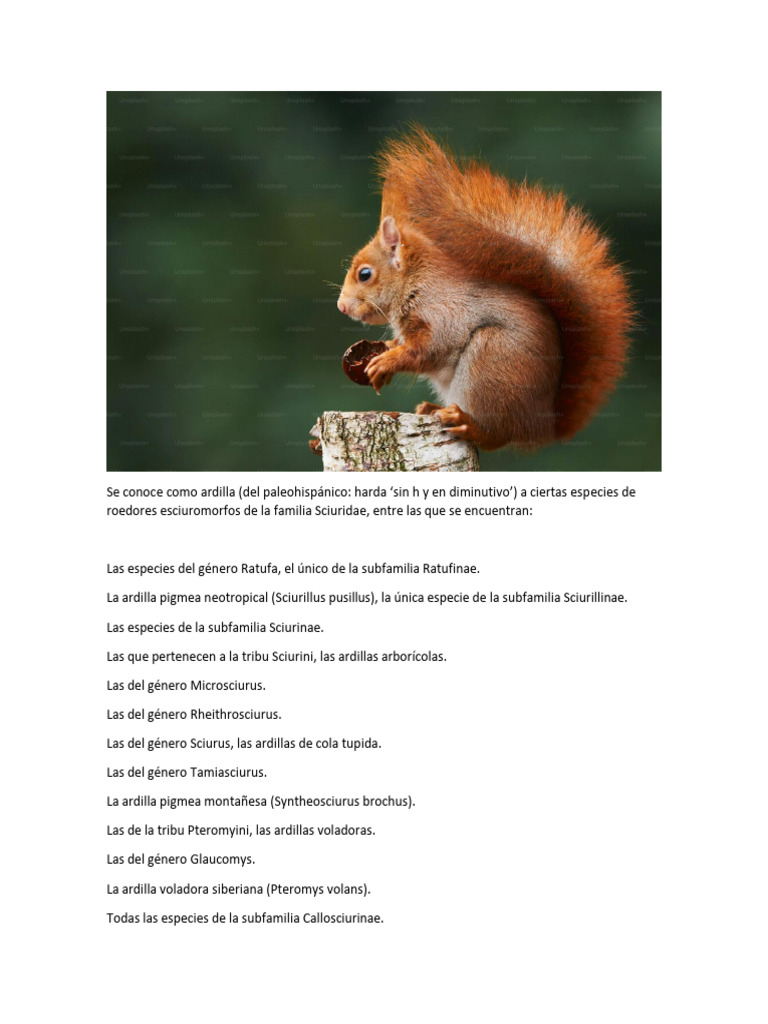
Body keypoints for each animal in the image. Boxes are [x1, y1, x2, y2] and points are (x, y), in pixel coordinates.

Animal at [336, 128, 633, 451]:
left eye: (365, 274)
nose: (341, 307)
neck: (416, 282)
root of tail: (544, 423)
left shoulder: (442, 313)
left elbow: (427, 349)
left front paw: (386, 362)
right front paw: (385, 352)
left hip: (491, 361)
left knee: (496, 435)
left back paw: (467, 423)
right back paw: (433, 408)